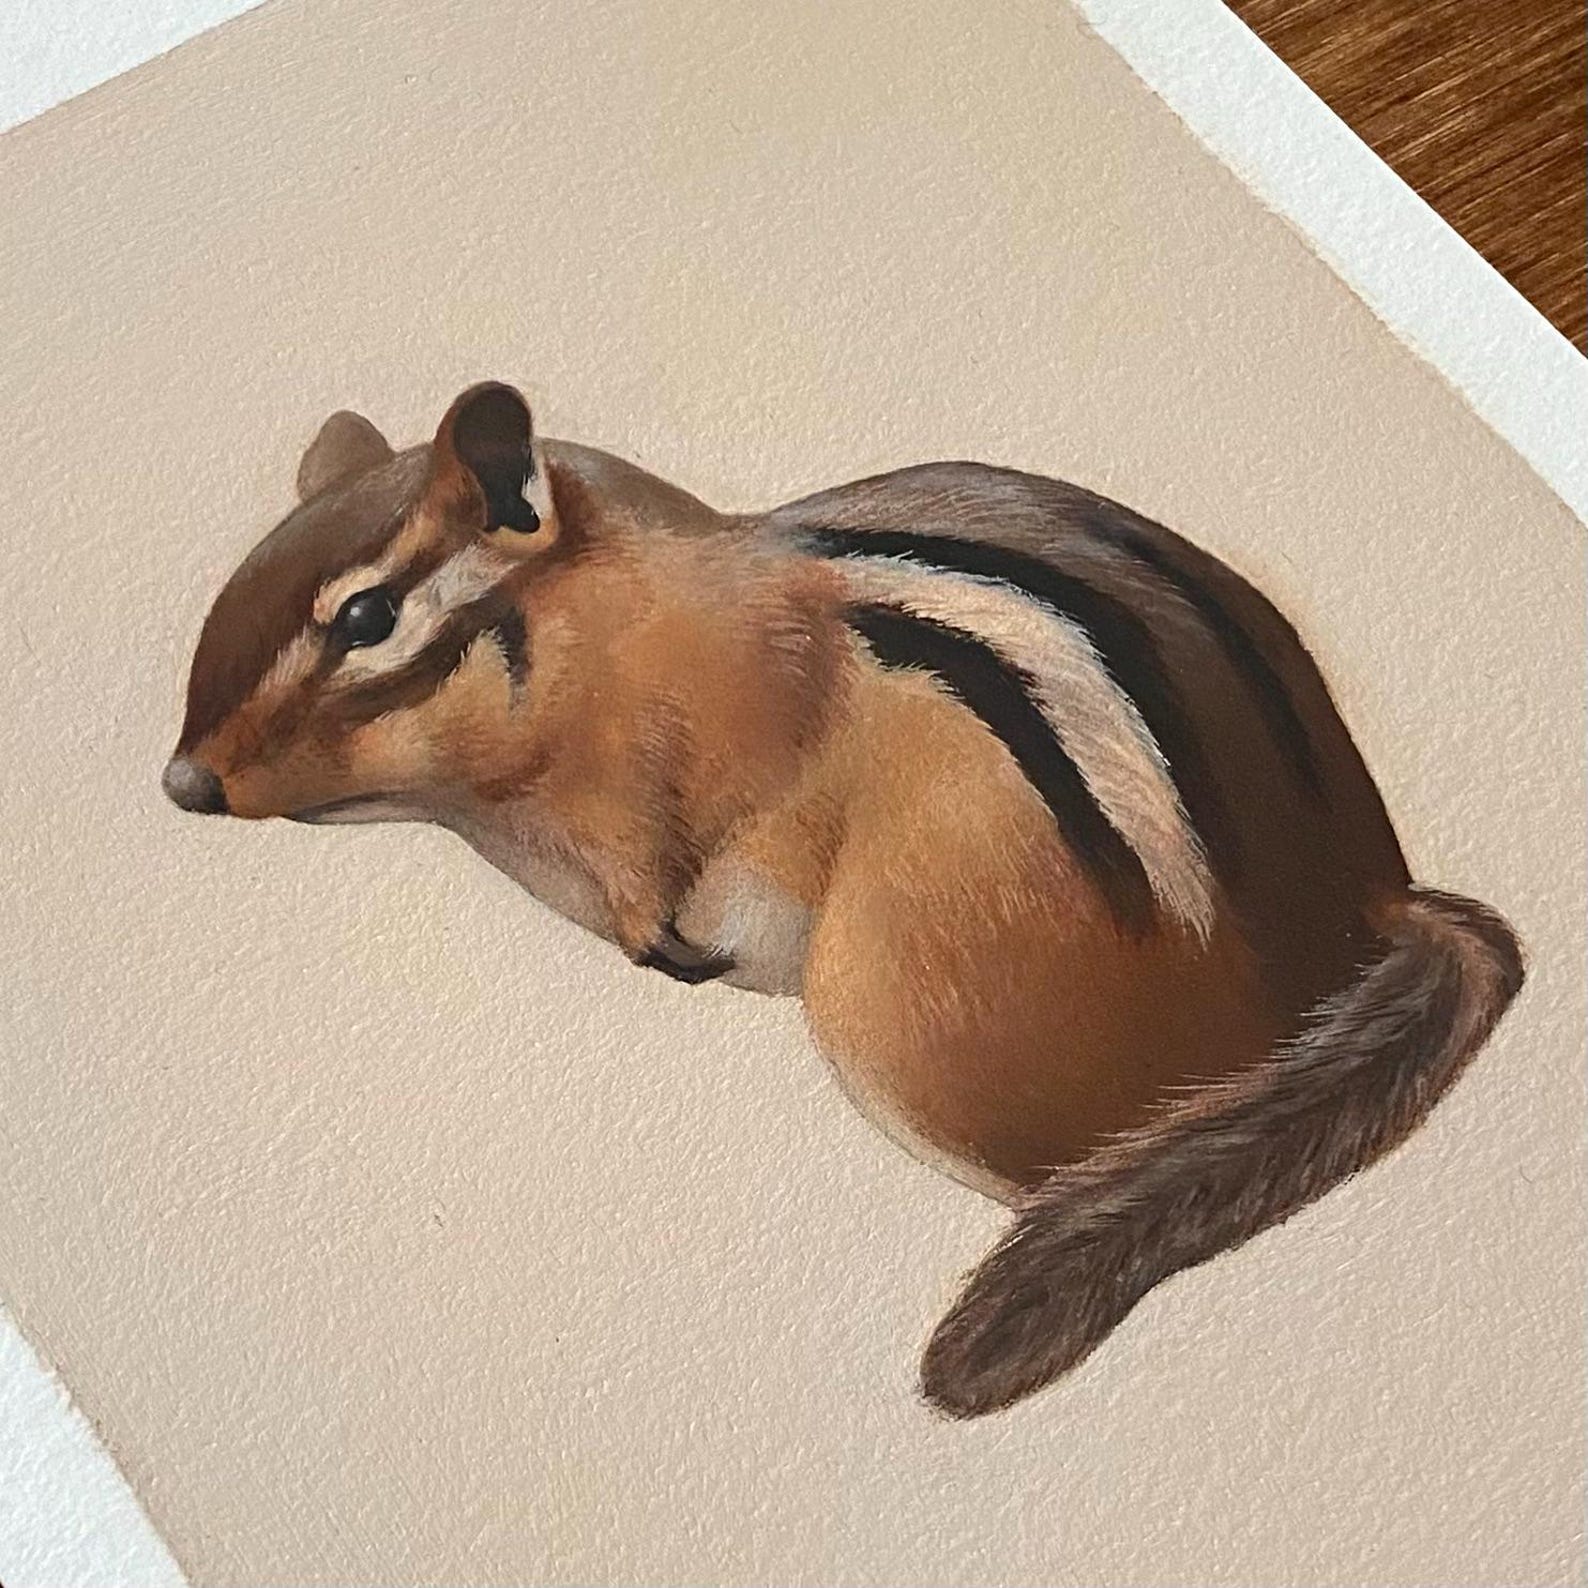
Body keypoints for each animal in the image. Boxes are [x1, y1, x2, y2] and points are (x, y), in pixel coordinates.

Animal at [163, 381, 1525, 1418]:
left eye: (368, 614)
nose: (184, 783)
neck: (612, 636)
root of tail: (1367, 915)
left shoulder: (678, 778)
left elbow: (669, 866)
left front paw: (670, 940)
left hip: (901, 1006)